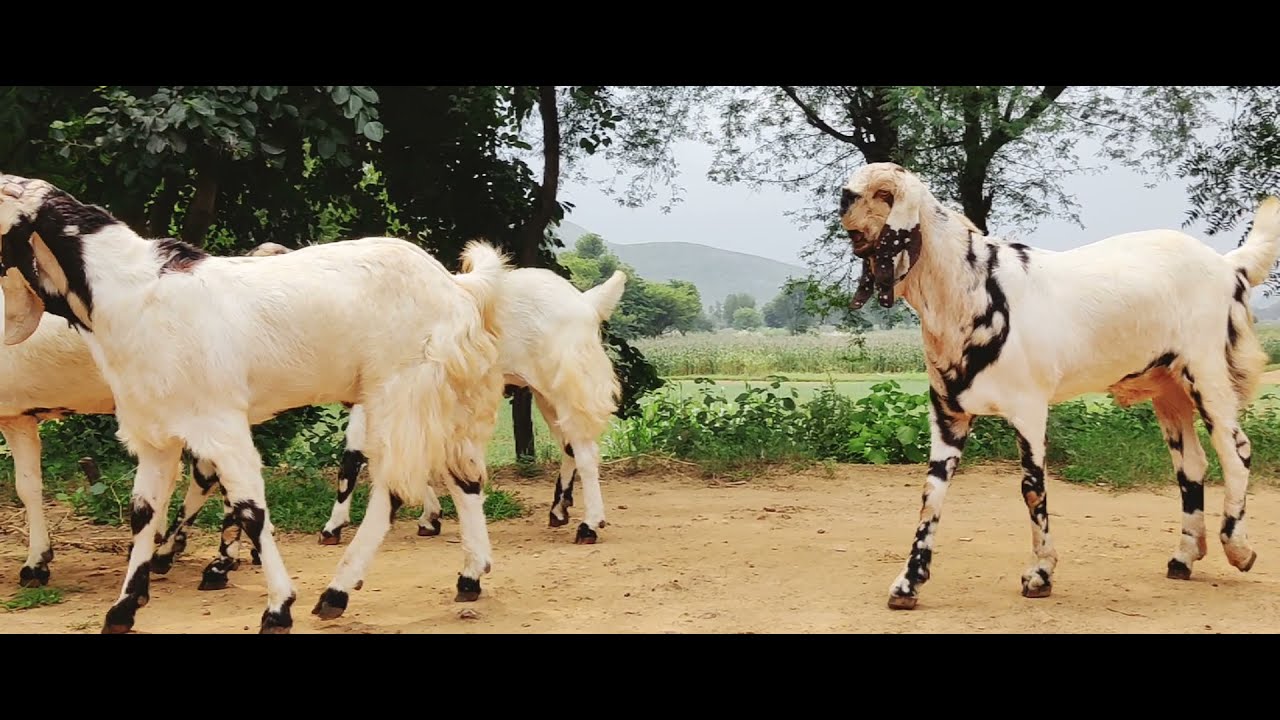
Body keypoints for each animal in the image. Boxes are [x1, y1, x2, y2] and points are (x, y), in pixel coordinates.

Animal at [0, 174, 509, 634]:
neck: (133, 292)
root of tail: (457, 288)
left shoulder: (220, 424)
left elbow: (250, 509)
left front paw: (278, 608)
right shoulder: (155, 434)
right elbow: (143, 512)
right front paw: (123, 609)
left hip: (401, 394)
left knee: (393, 489)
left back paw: (337, 590)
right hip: (440, 402)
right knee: (463, 476)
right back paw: (470, 575)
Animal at [837, 162, 1280, 610]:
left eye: (879, 195)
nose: (843, 203)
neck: (975, 288)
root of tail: (1228, 265)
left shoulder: (1029, 410)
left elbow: (1033, 488)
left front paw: (1040, 574)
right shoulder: (948, 413)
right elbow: (931, 494)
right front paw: (909, 583)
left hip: (1208, 377)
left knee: (1235, 451)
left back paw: (1238, 548)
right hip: (1169, 391)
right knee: (1191, 464)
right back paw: (1185, 557)